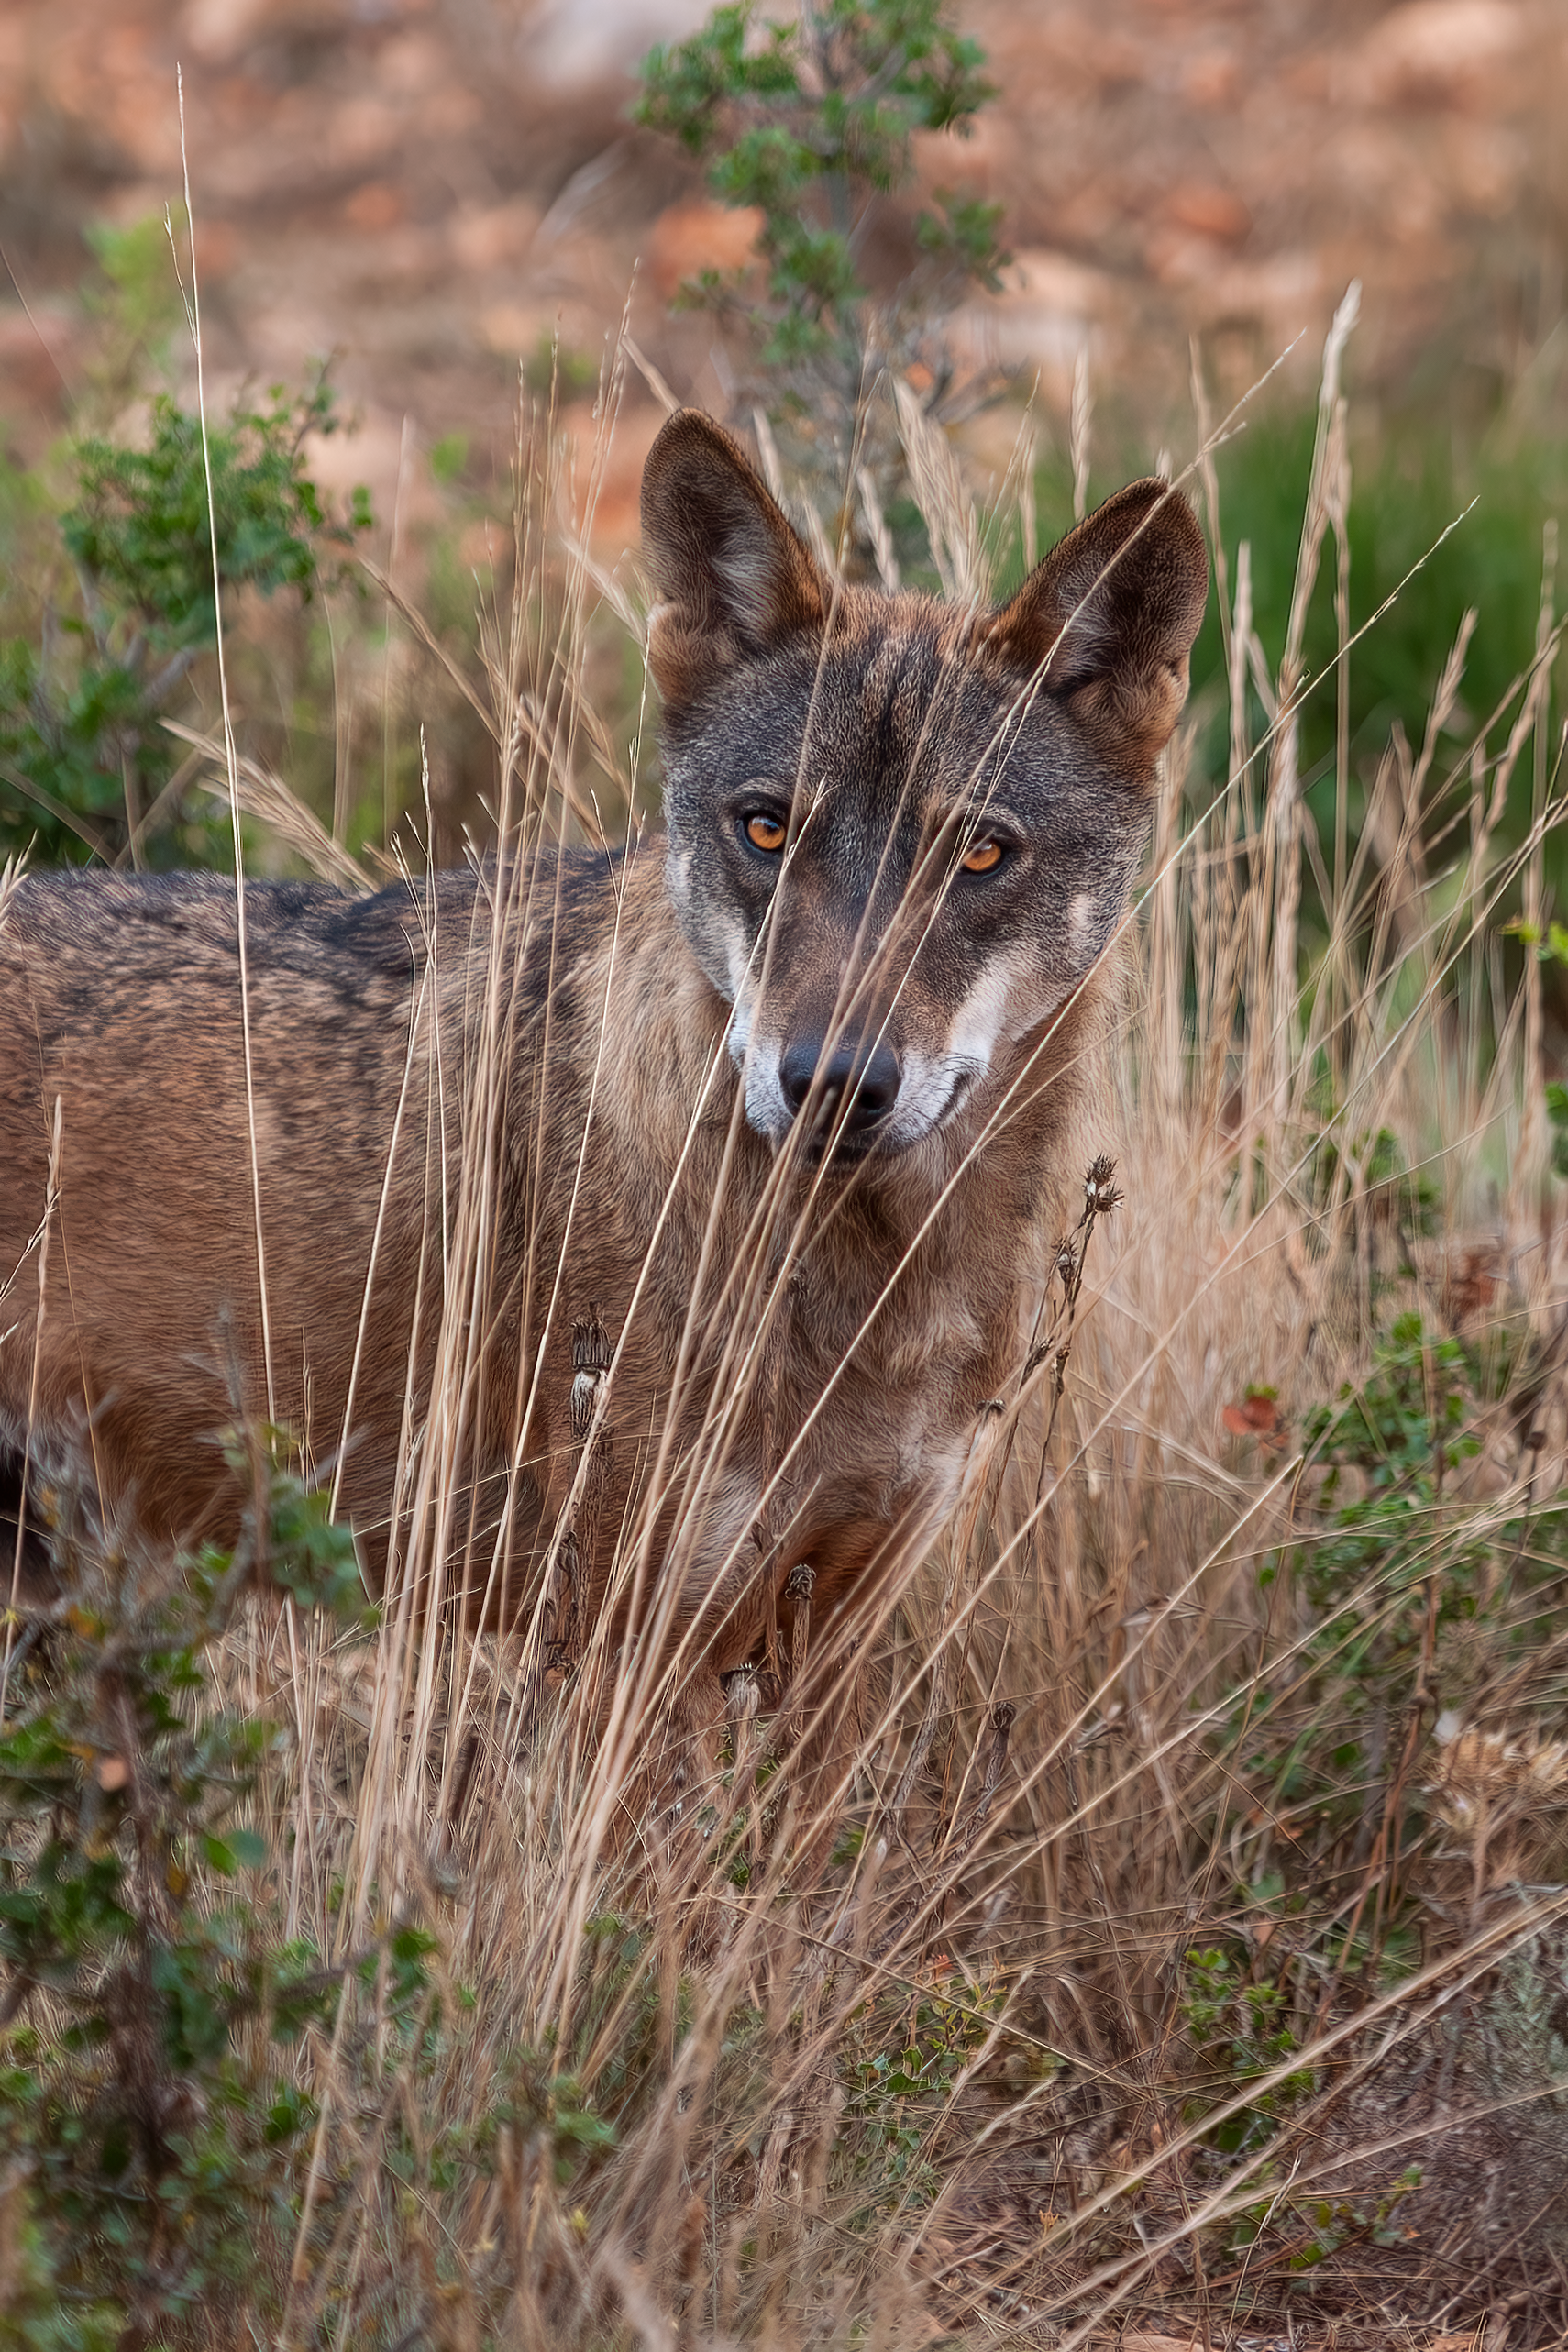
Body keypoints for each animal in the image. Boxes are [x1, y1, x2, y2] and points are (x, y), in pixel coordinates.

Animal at [0, 410, 1206, 1733]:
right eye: (765, 829)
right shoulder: (624, 1645)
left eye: (981, 855)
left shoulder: (830, 1638)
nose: (831, 1079)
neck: (874, 1291)